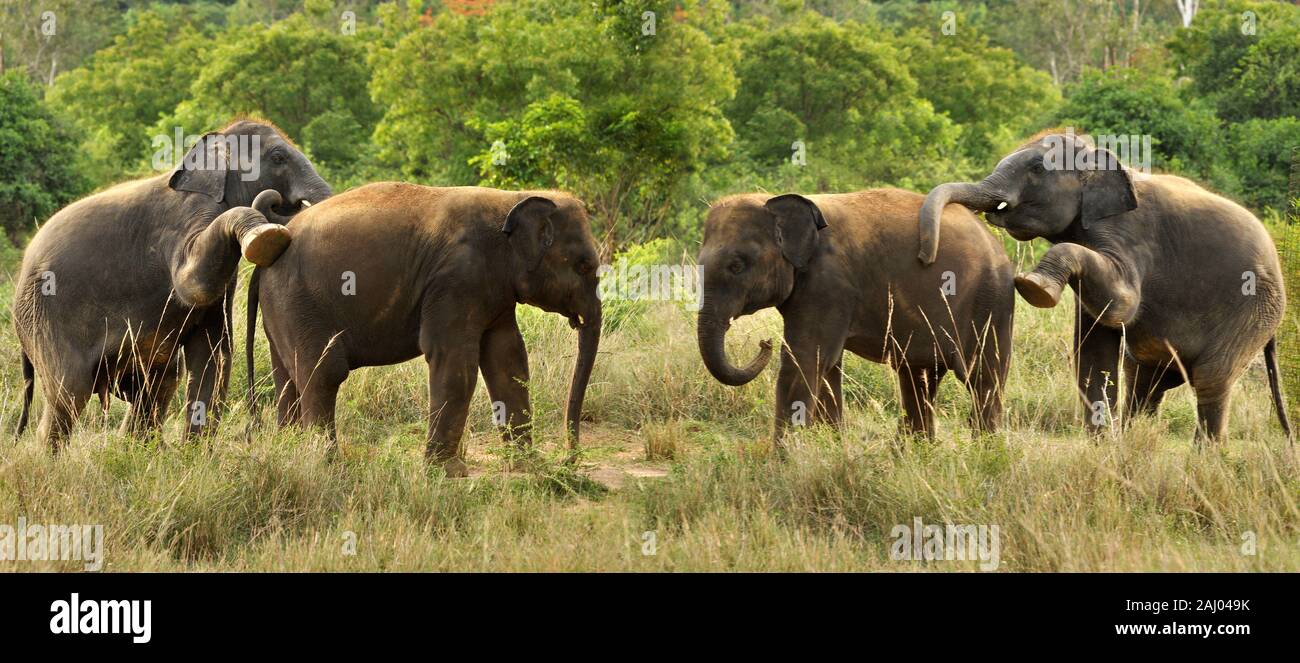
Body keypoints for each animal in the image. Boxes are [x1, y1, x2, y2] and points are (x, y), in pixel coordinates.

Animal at [13, 119, 331, 449]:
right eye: (278, 158)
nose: (278, 204)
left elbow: (214, 351)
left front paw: (193, 452)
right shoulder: (181, 224)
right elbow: (193, 284)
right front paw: (266, 237)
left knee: (160, 382)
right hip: (43, 317)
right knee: (70, 391)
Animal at [244, 183, 602, 477]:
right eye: (584, 266)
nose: (568, 460)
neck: (510, 200)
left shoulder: (494, 290)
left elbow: (508, 359)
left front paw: (527, 465)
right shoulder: (457, 279)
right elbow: (455, 360)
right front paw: (449, 472)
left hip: (282, 309)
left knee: (287, 377)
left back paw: (290, 450)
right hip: (299, 301)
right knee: (324, 372)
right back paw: (329, 464)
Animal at [696, 190, 1015, 445]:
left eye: (737, 266)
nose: (765, 343)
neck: (775, 199)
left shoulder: (829, 284)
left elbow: (805, 359)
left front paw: (784, 460)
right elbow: (827, 366)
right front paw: (832, 447)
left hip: (990, 302)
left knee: (983, 378)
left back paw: (985, 452)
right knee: (919, 378)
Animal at [917, 131, 1291, 442]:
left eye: (1037, 168)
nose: (925, 255)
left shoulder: (1132, 236)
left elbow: (1123, 305)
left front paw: (1033, 287)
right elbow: (1094, 350)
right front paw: (1103, 447)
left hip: (1254, 310)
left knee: (1212, 377)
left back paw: (1204, 457)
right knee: (1145, 379)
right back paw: (1134, 437)